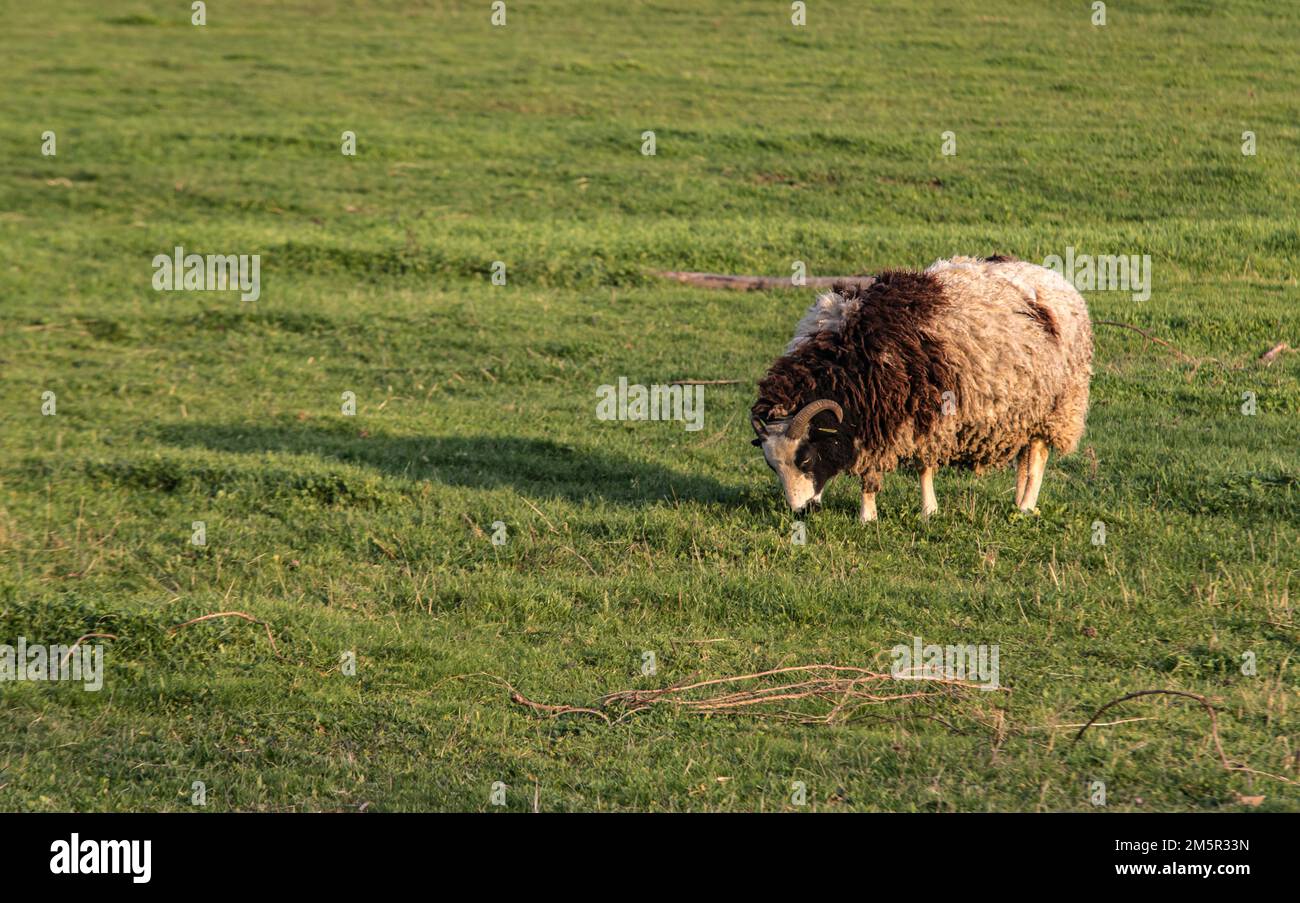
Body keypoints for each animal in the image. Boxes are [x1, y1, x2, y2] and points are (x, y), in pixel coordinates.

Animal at [751, 256, 1093, 520]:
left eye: (805, 460)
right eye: (772, 466)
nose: (801, 511)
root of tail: (1054, 277)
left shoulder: (928, 416)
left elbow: (924, 467)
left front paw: (926, 511)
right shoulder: (874, 421)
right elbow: (869, 472)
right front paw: (869, 515)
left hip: (1057, 408)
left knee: (1037, 458)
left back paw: (1025, 507)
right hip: (1025, 410)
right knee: (1025, 458)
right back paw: (1019, 499)